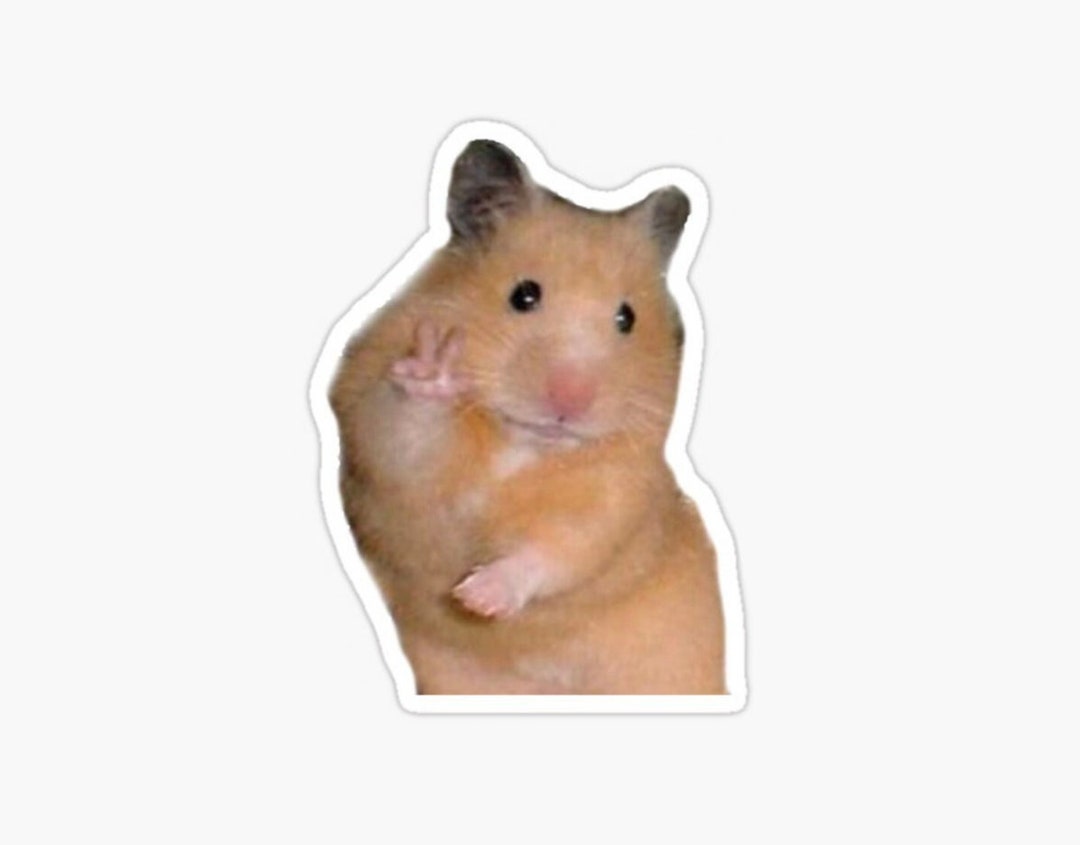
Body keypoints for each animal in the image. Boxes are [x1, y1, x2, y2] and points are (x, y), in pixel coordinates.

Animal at [329, 140, 726, 694]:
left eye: (626, 318)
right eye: (523, 295)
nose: (569, 403)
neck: (522, 444)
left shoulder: (617, 495)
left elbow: (559, 548)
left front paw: (477, 598)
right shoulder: (376, 438)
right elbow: (407, 434)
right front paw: (434, 368)